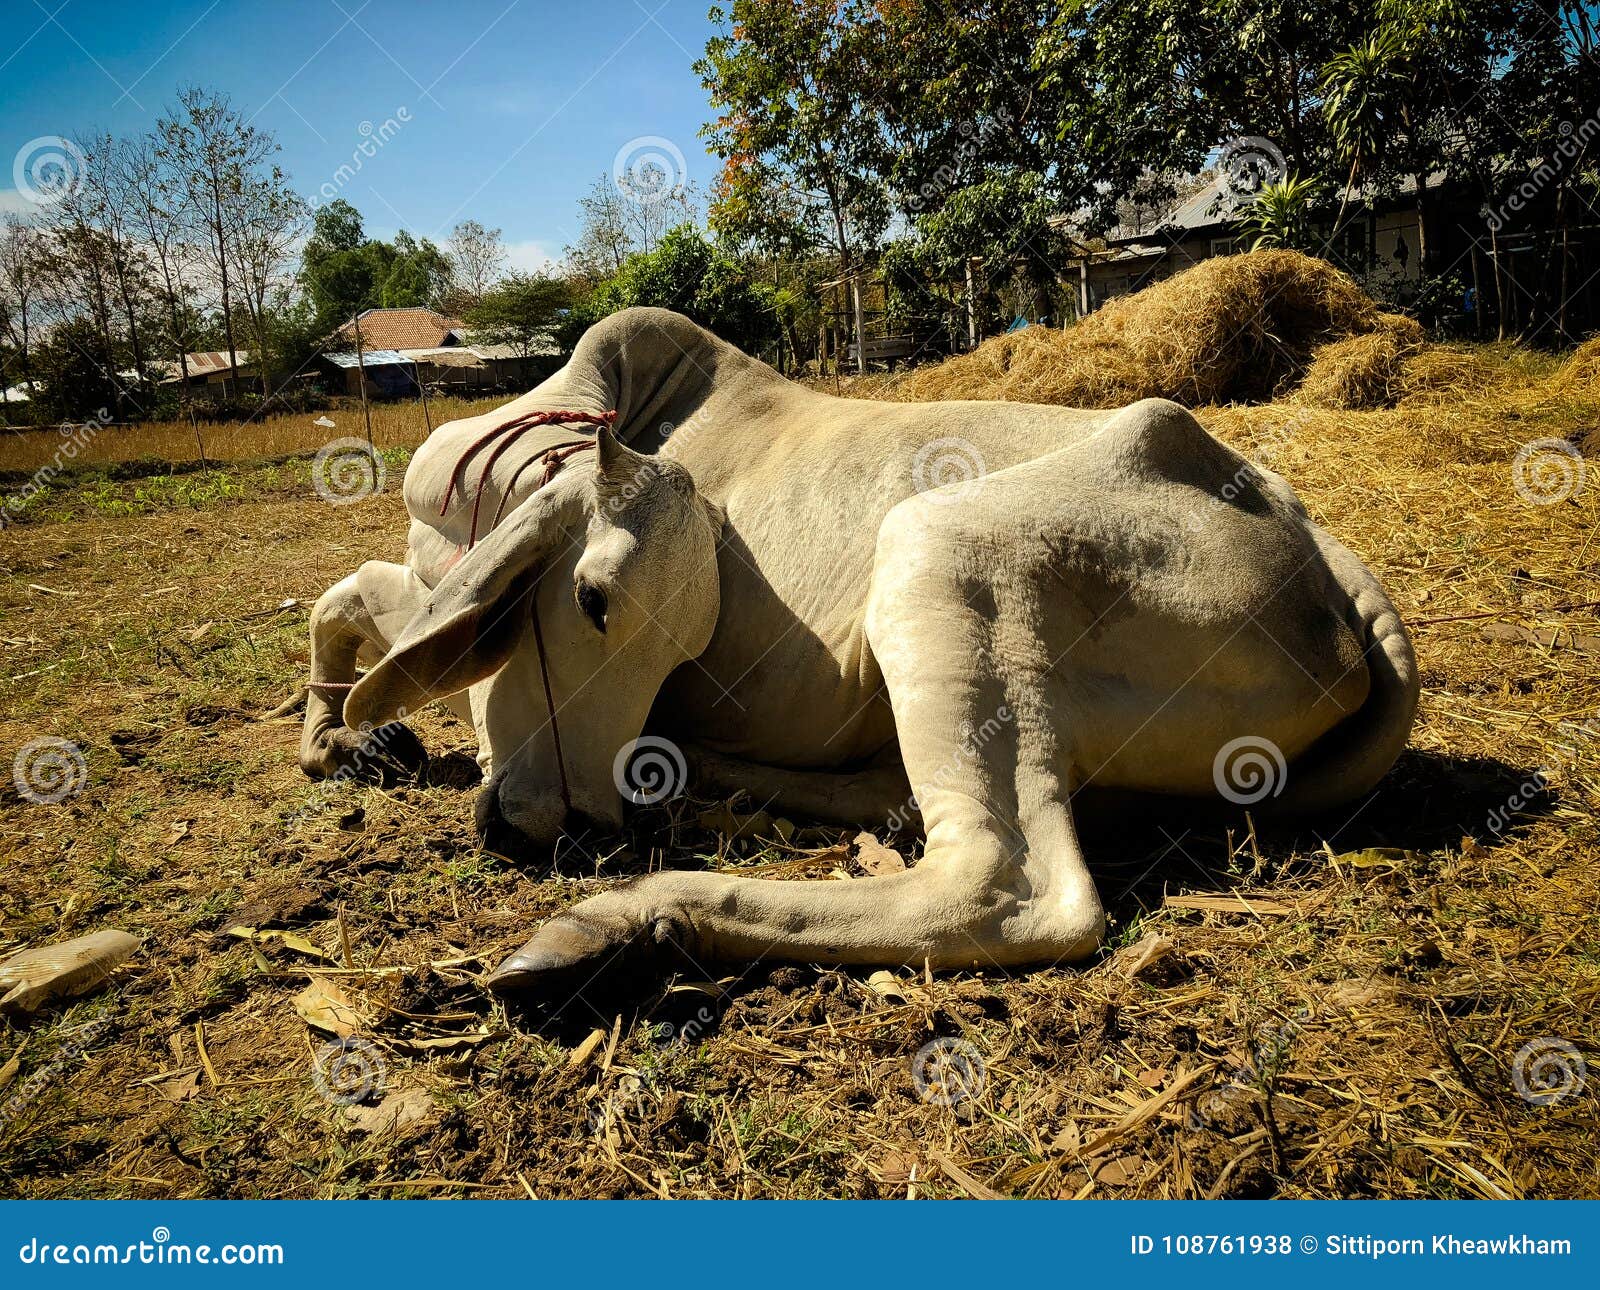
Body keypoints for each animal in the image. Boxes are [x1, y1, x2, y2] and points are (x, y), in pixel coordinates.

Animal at [299, 307, 1418, 994]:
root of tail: (1313, 541)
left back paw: (624, 921)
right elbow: (350, 602)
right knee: (901, 805)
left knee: (1005, 888)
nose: (568, 827)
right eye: (592, 603)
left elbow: (358, 599)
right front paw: (346, 740)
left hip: (938, 551)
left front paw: (347, 731)